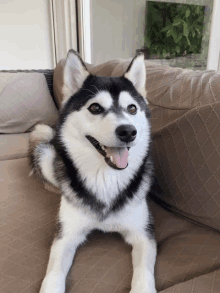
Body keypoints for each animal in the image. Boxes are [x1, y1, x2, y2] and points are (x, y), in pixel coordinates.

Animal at [29, 50, 157, 292]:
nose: (128, 131)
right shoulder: (65, 237)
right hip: (47, 154)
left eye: (132, 108)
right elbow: (53, 275)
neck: (105, 178)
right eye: (95, 107)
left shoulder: (144, 235)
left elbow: (143, 274)